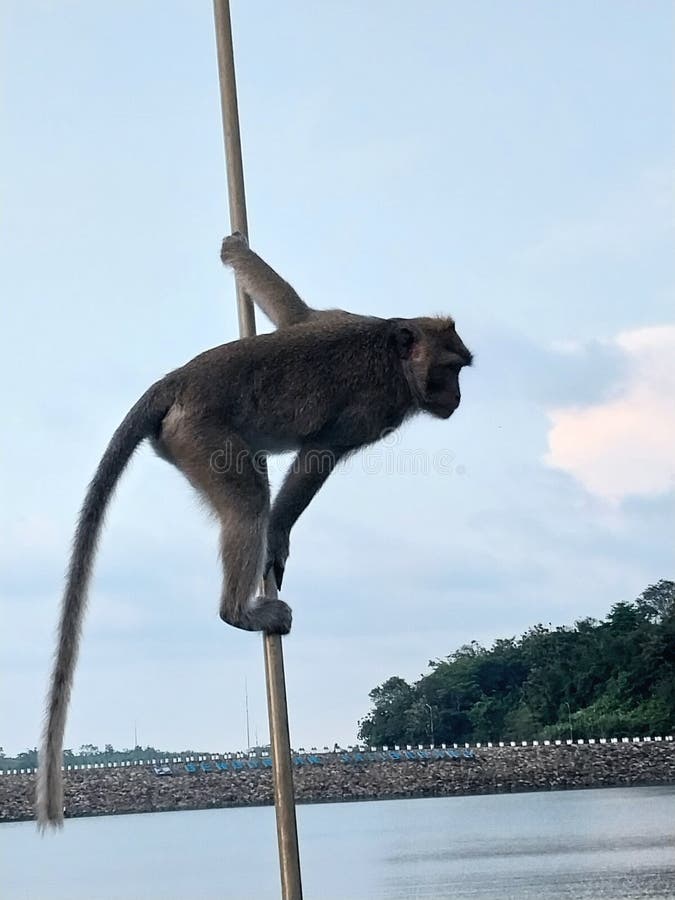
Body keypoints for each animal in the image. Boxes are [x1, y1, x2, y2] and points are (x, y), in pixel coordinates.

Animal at [37, 233, 472, 829]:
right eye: (449, 369)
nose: (457, 397)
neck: (387, 345)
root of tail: (177, 380)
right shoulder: (371, 412)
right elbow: (317, 457)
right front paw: (280, 537)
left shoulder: (338, 317)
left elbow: (296, 314)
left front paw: (235, 249)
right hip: (199, 436)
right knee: (248, 503)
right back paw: (239, 610)